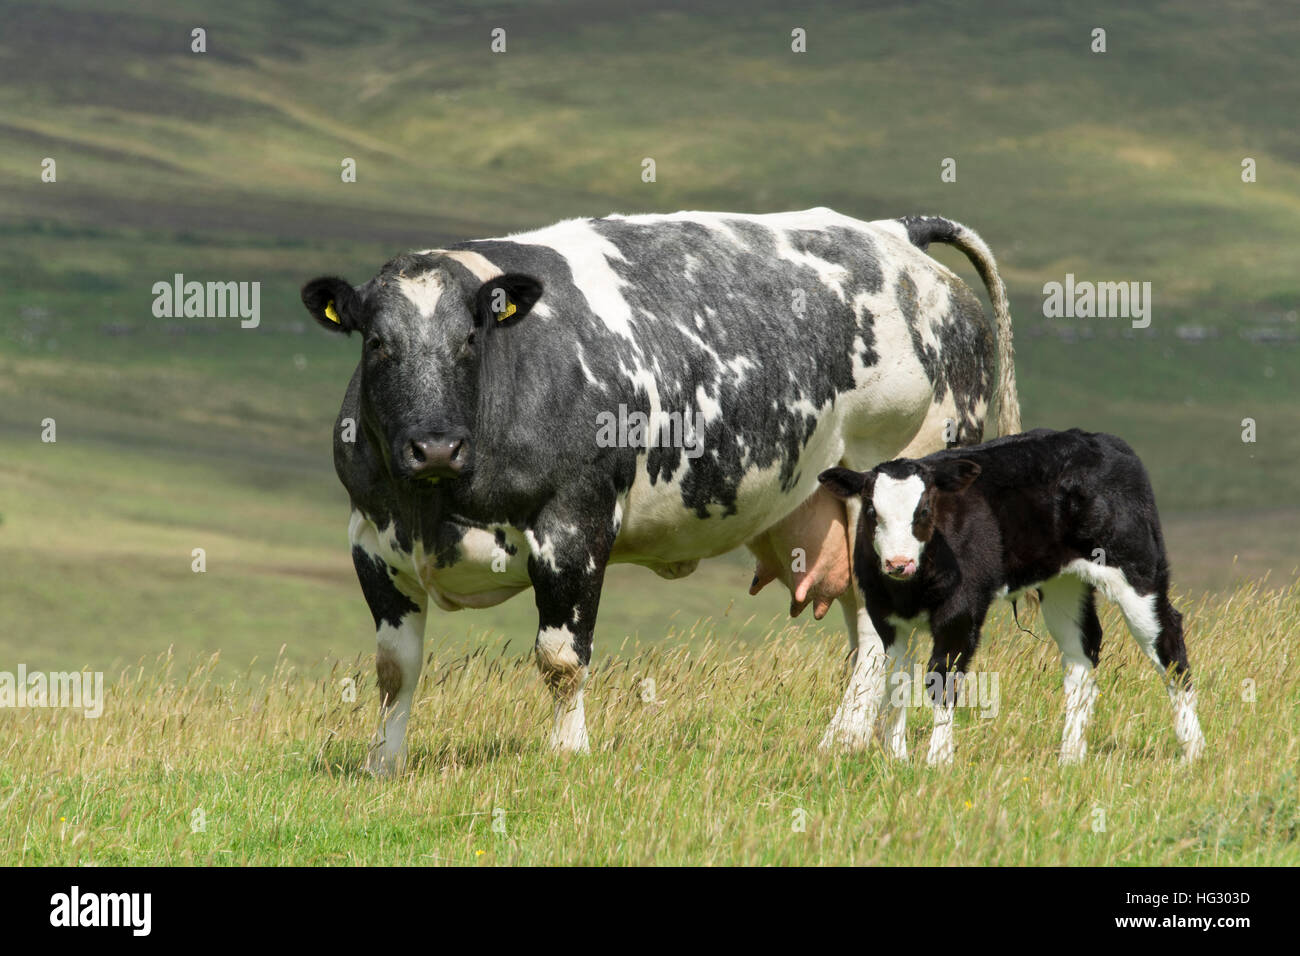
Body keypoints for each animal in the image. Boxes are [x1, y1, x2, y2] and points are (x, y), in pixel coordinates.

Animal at [299, 208, 1021, 774]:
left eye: (470, 338)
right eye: (377, 343)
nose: (435, 446)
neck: (439, 506)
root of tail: (893, 235)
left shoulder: (574, 526)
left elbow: (561, 658)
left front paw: (568, 753)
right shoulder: (372, 539)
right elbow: (394, 669)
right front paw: (384, 765)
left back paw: (846, 741)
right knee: (872, 630)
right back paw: (861, 743)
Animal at [818, 428, 1207, 765]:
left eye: (924, 511)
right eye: (872, 512)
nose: (899, 562)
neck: (910, 589)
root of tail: (1103, 441)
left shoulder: (961, 611)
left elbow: (942, 678)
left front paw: (938, 760)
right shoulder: (885, 617)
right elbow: (897, 682)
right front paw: (896, 760)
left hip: (1137, 568)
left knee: (1168, 644)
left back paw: (1192, 750)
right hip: (1063, 583)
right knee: (1081, 654)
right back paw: (1070, 757)